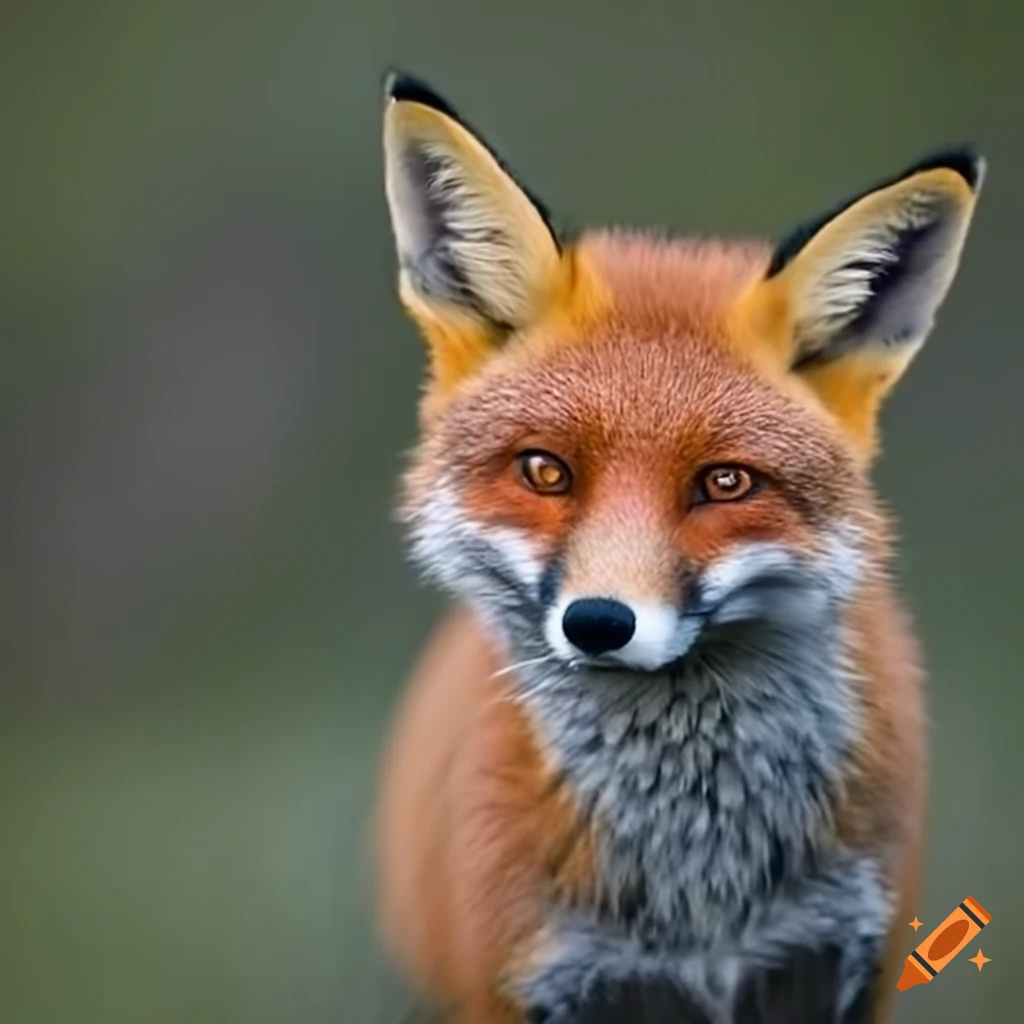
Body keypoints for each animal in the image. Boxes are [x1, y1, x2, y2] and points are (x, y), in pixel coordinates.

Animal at [373, 70, 984, 1024]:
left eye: (725, 483)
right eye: (545, 470)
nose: (598, 624)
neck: (702, 898)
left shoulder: (844, 965)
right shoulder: (537, 983)